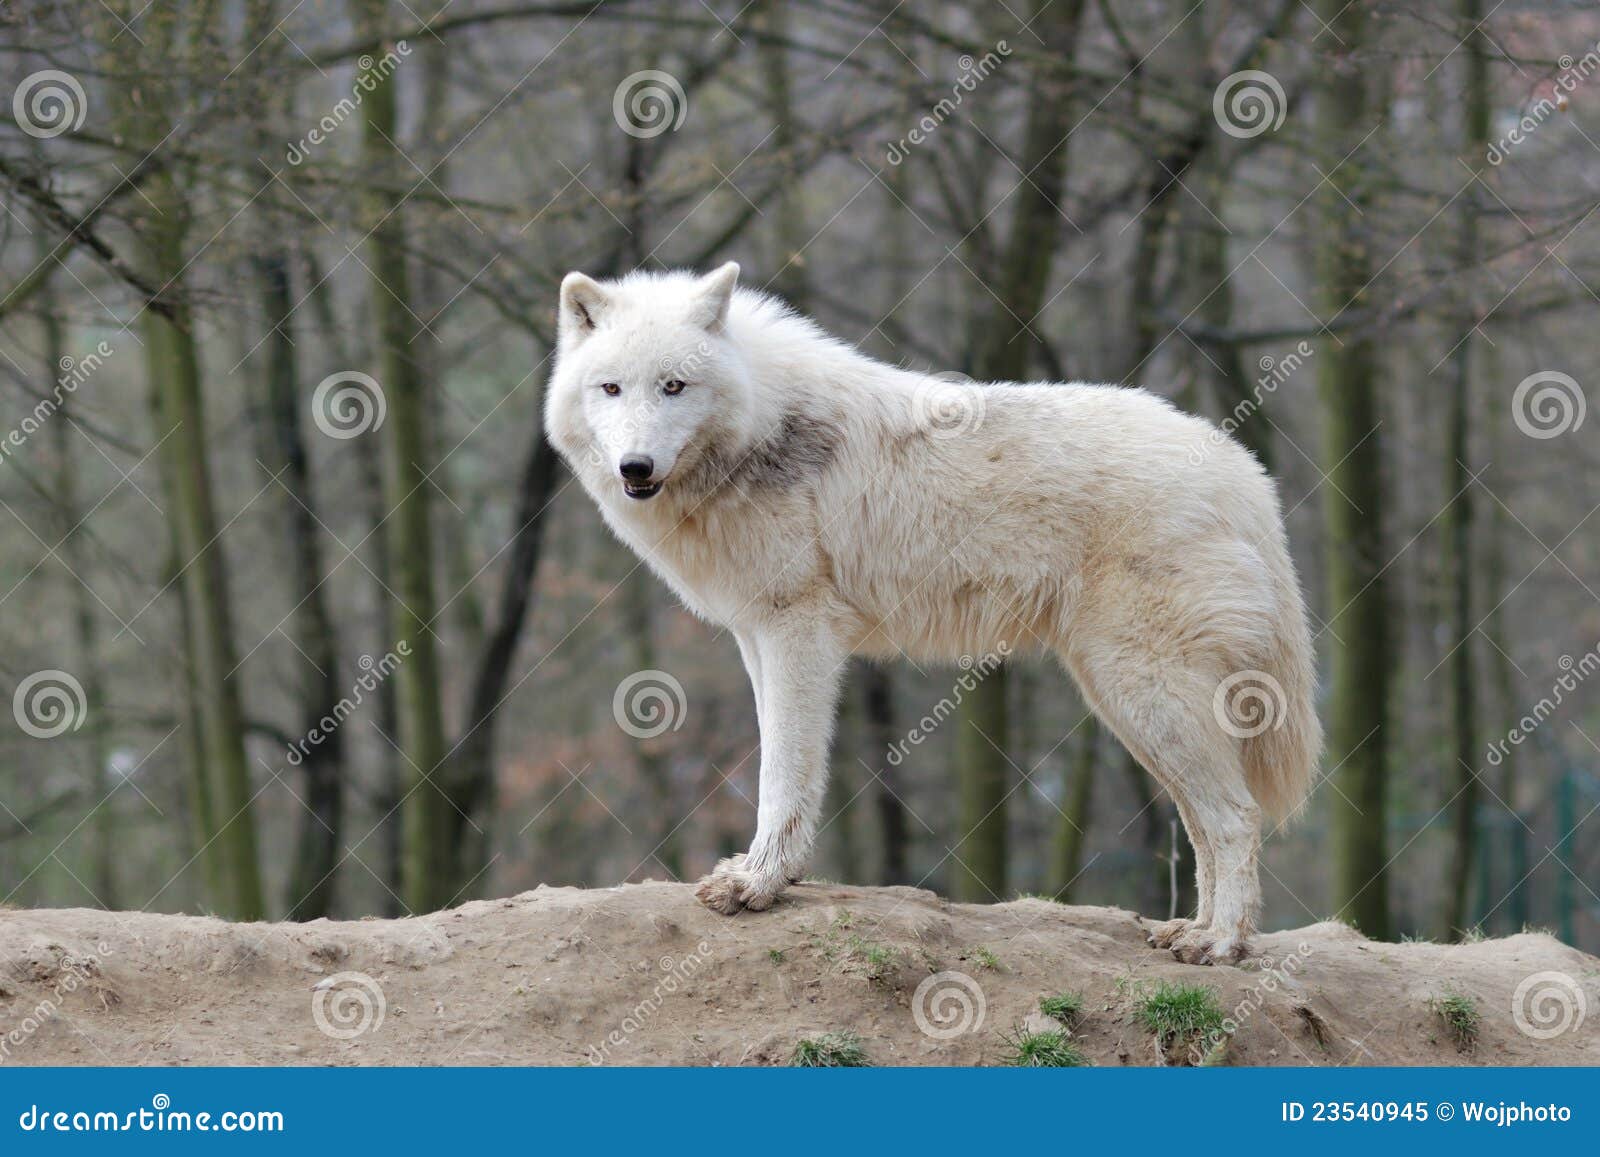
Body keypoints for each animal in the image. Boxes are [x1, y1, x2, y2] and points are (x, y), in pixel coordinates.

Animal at [545, 262, 1321, 964]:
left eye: (674, 386)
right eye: (610, 388)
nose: (636, 467)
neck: (763, 429)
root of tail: (1244, 473)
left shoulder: (797, 630)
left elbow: (782, 772)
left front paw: (760, 884)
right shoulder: (754, 636)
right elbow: (777, 763)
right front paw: (765, 874)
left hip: (1141, 693)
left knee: (1235, 815)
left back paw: (1221, 942)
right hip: (1130, 704)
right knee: (1203, 819)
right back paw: (1194, 932)